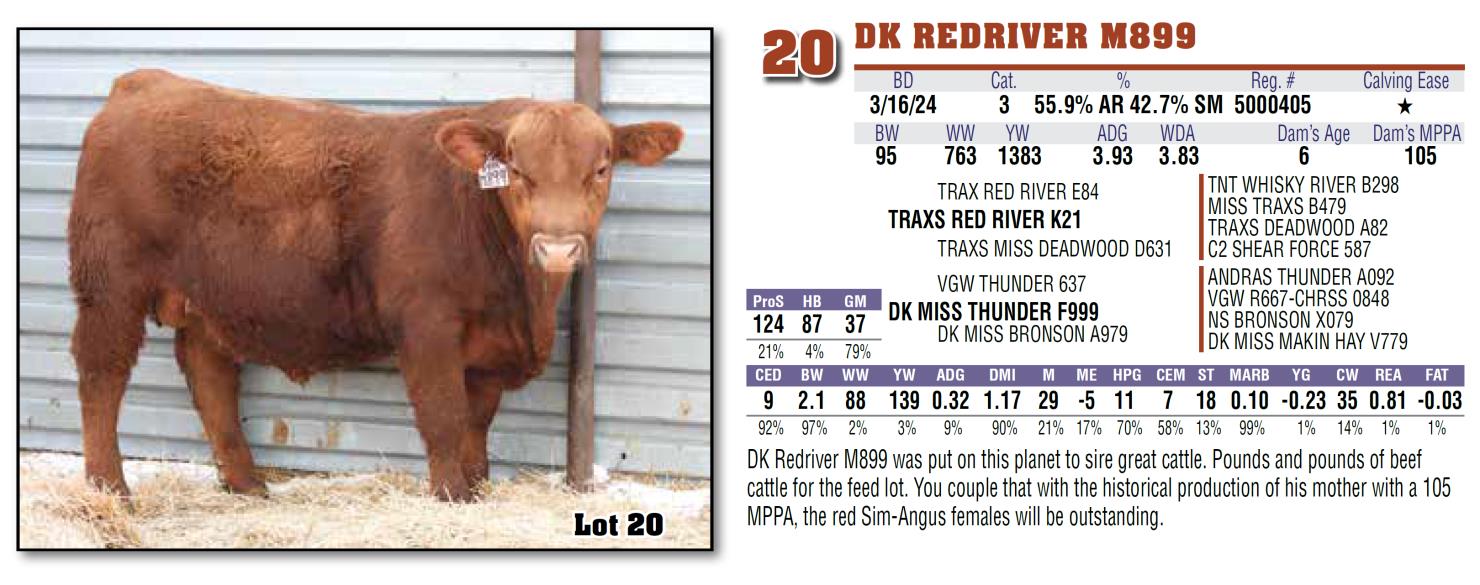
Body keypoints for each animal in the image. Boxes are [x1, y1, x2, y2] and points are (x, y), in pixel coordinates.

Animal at [67, 69, 683, 502]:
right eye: (515, 169)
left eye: (601, 168)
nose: (557, 247)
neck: (518, 299)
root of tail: (144, 82)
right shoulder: (427, 326)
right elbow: (443, 415)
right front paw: (452, 497)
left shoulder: (487, 349)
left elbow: (476, 424)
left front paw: (479, 489)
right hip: (109, 285)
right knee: (102, 375)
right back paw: (110, 490)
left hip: (210, 296)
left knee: (210, 378)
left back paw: (249, 485)